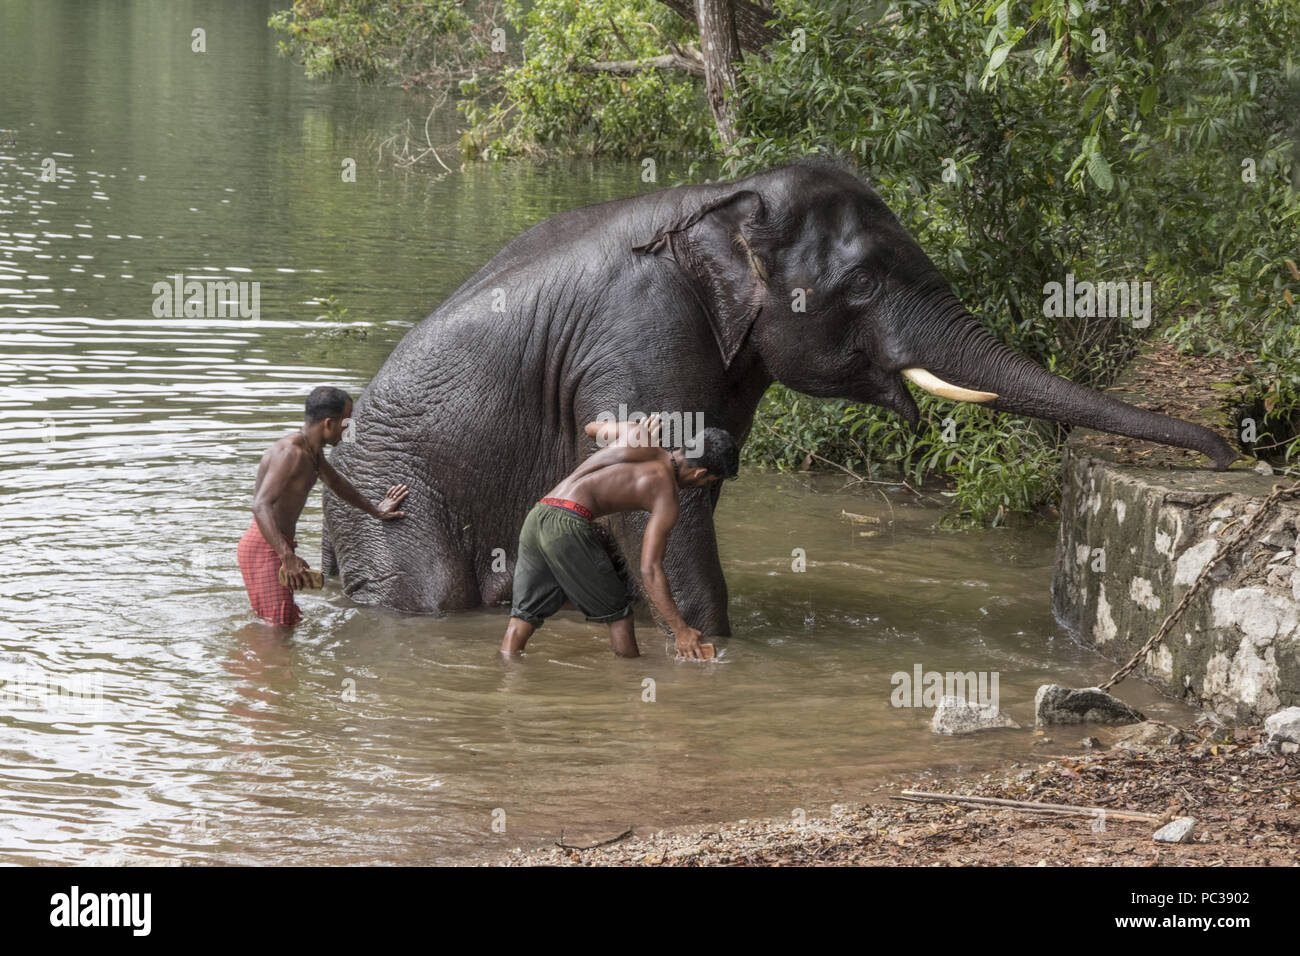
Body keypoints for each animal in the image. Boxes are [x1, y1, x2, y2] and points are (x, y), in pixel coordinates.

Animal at [321, 159, 1239, 636]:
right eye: (863, 283)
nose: (1231, 449)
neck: (720, 196)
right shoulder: (643, 334)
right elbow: (656, 502)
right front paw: (712, 650)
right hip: (402, 508)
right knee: (427, 594)